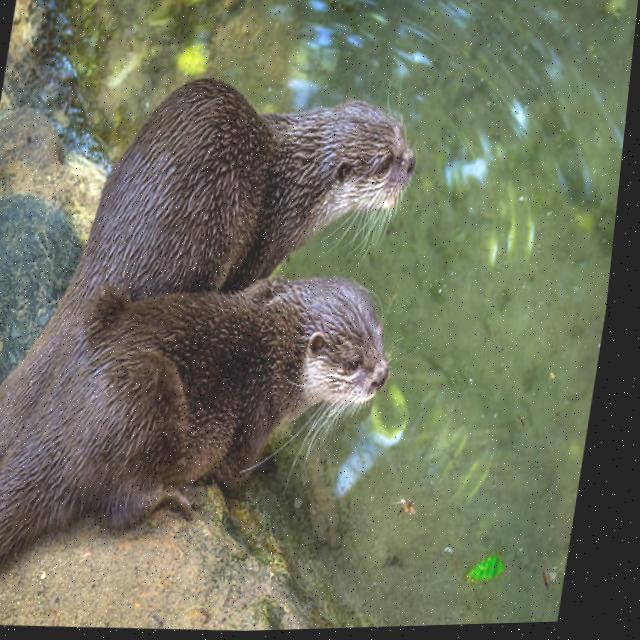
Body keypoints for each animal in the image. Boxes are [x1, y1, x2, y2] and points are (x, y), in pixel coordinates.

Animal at [0, 278, 387, 567]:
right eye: (353, 362)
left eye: (380, 336)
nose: (382, 377)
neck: (279, 356)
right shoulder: (258, 412)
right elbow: (234, 474)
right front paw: (266, 468)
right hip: (144, 392)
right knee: (120, 505)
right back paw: (172, 497)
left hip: (105, 303)